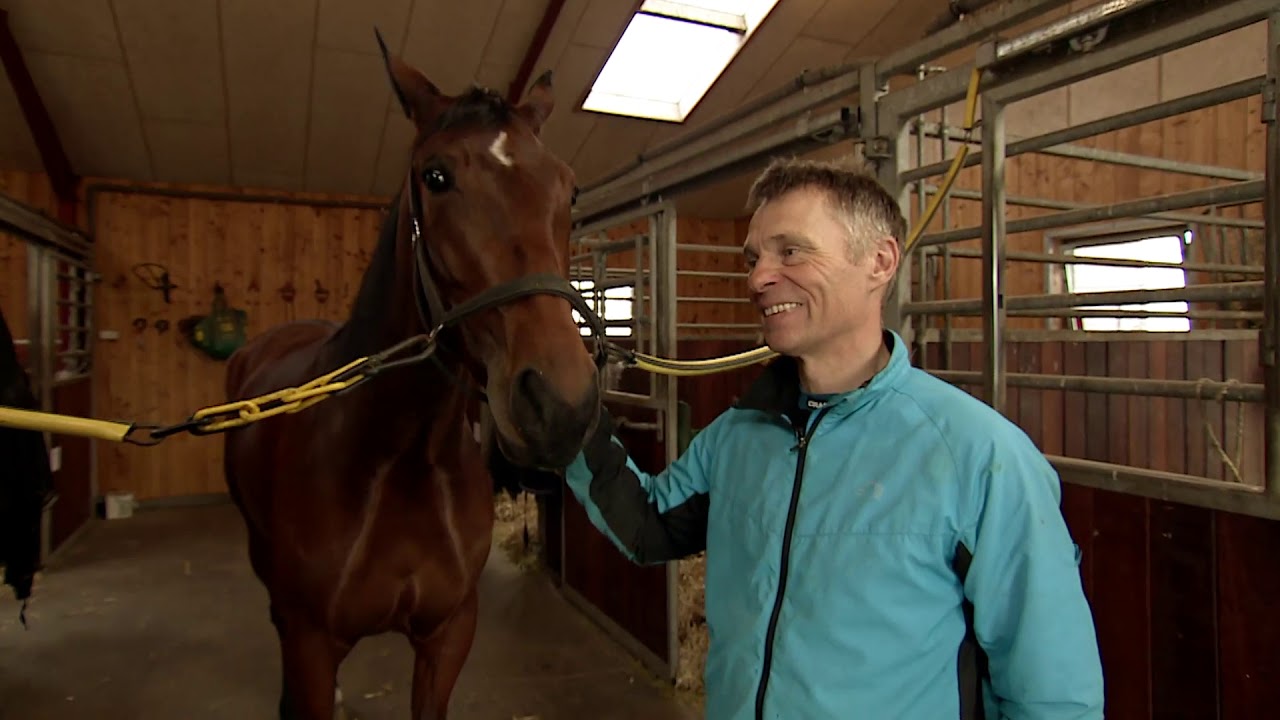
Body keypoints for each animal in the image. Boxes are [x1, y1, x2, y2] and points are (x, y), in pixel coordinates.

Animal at [220, 32, 607, 720]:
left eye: (570, 188)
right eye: (437, 176)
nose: (561, 404)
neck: (398, 460)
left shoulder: (448, 633)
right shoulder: (312, 643)